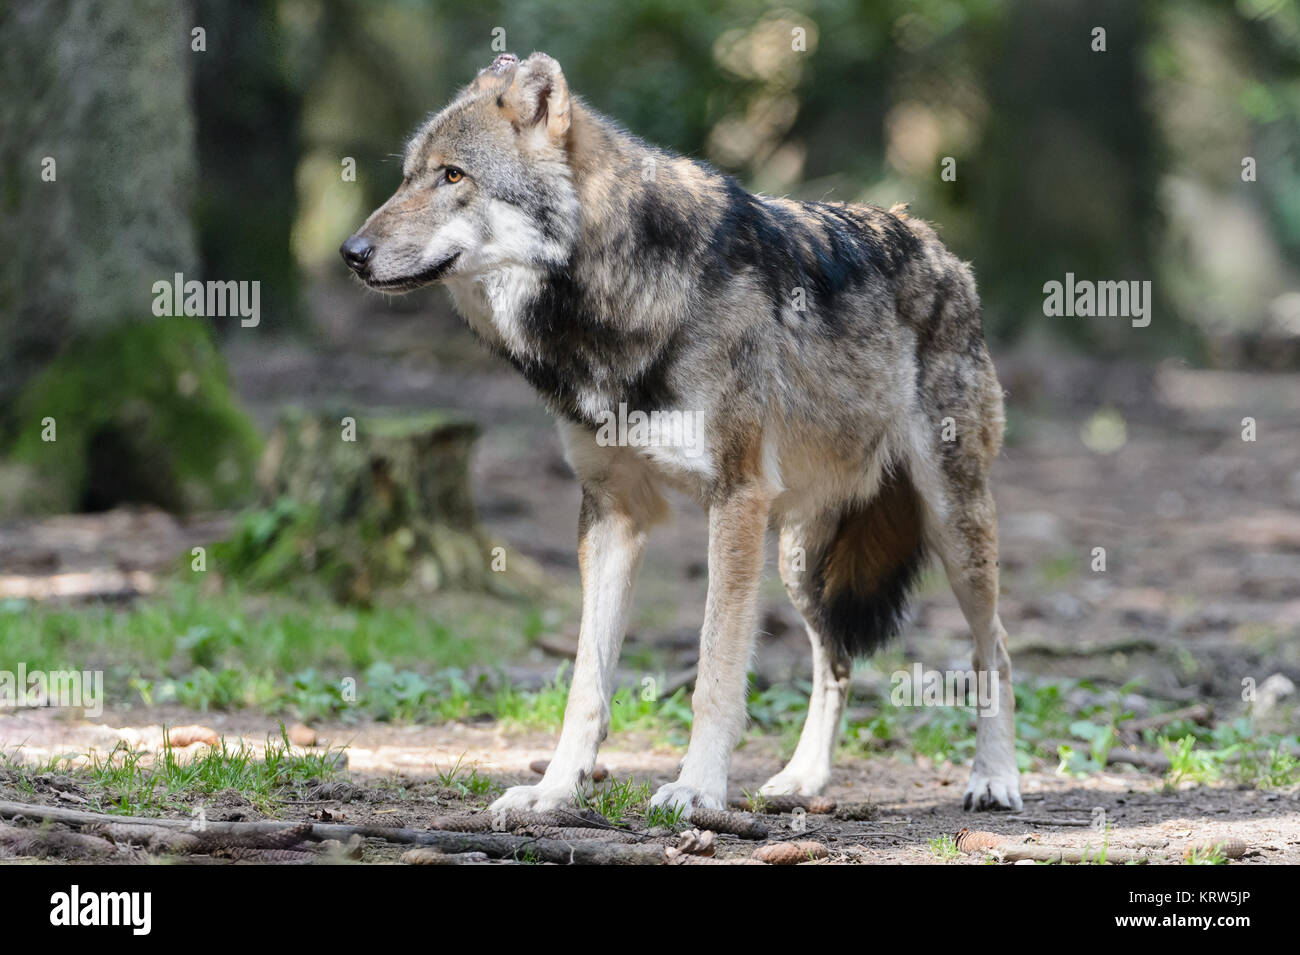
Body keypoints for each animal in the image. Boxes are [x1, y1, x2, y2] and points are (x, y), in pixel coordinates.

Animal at [342, 52, 1021, 814]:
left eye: (453, 176)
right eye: (407, 176)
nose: (351, 252)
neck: (619, 305)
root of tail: (941, 250)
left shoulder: (735, 499)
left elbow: (716, 672)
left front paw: (696, 788)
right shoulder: (612, 511)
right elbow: (586, 684)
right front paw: (553, 790)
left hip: (950, 525)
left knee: (994, 648)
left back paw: (994, 777)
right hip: (798, 559)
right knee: (835, 661)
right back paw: (802, 779)